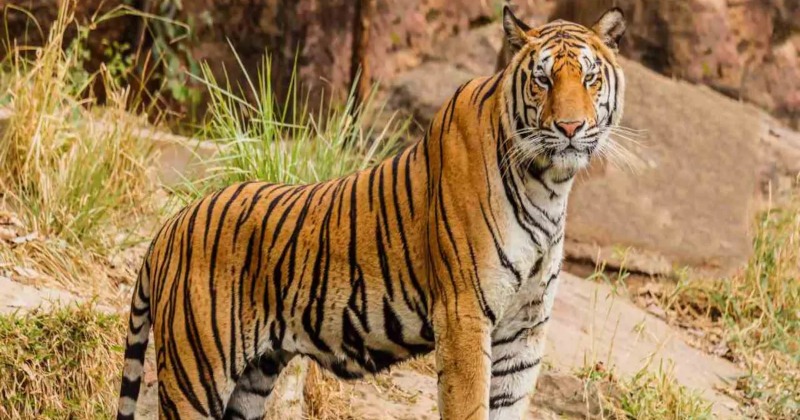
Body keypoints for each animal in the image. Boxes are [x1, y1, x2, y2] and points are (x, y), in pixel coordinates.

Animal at [117, 6, 626, 420]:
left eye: (589, 78)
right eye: (543, 80)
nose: (570, 127)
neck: (549, 186)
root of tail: (170, 226)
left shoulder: (524, 331)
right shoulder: (464, 315)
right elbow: (468, 404)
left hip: (253, 377)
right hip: (196, 373)